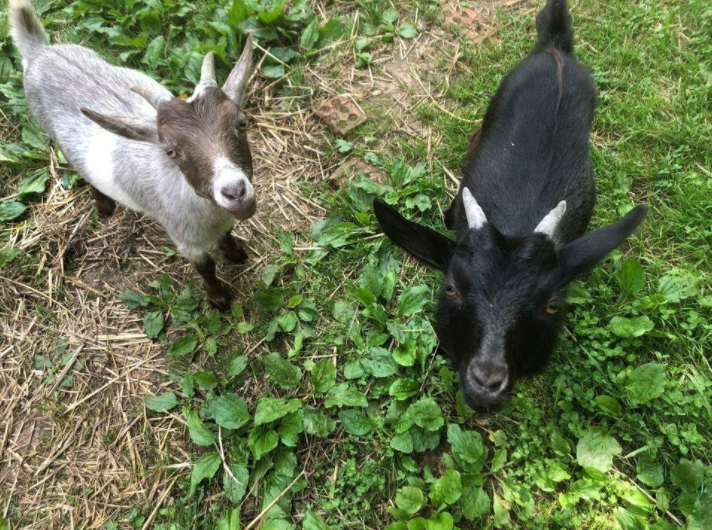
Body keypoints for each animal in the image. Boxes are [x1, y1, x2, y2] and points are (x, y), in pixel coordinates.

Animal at [9, 0, 256, 310]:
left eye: (242, 123)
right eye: (171, 150)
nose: (235, 192)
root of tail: (39, 51)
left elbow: (228, 236)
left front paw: (236, 253)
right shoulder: (186, 240)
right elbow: (206, 268)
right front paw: (219, 299)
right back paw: (104, 206)